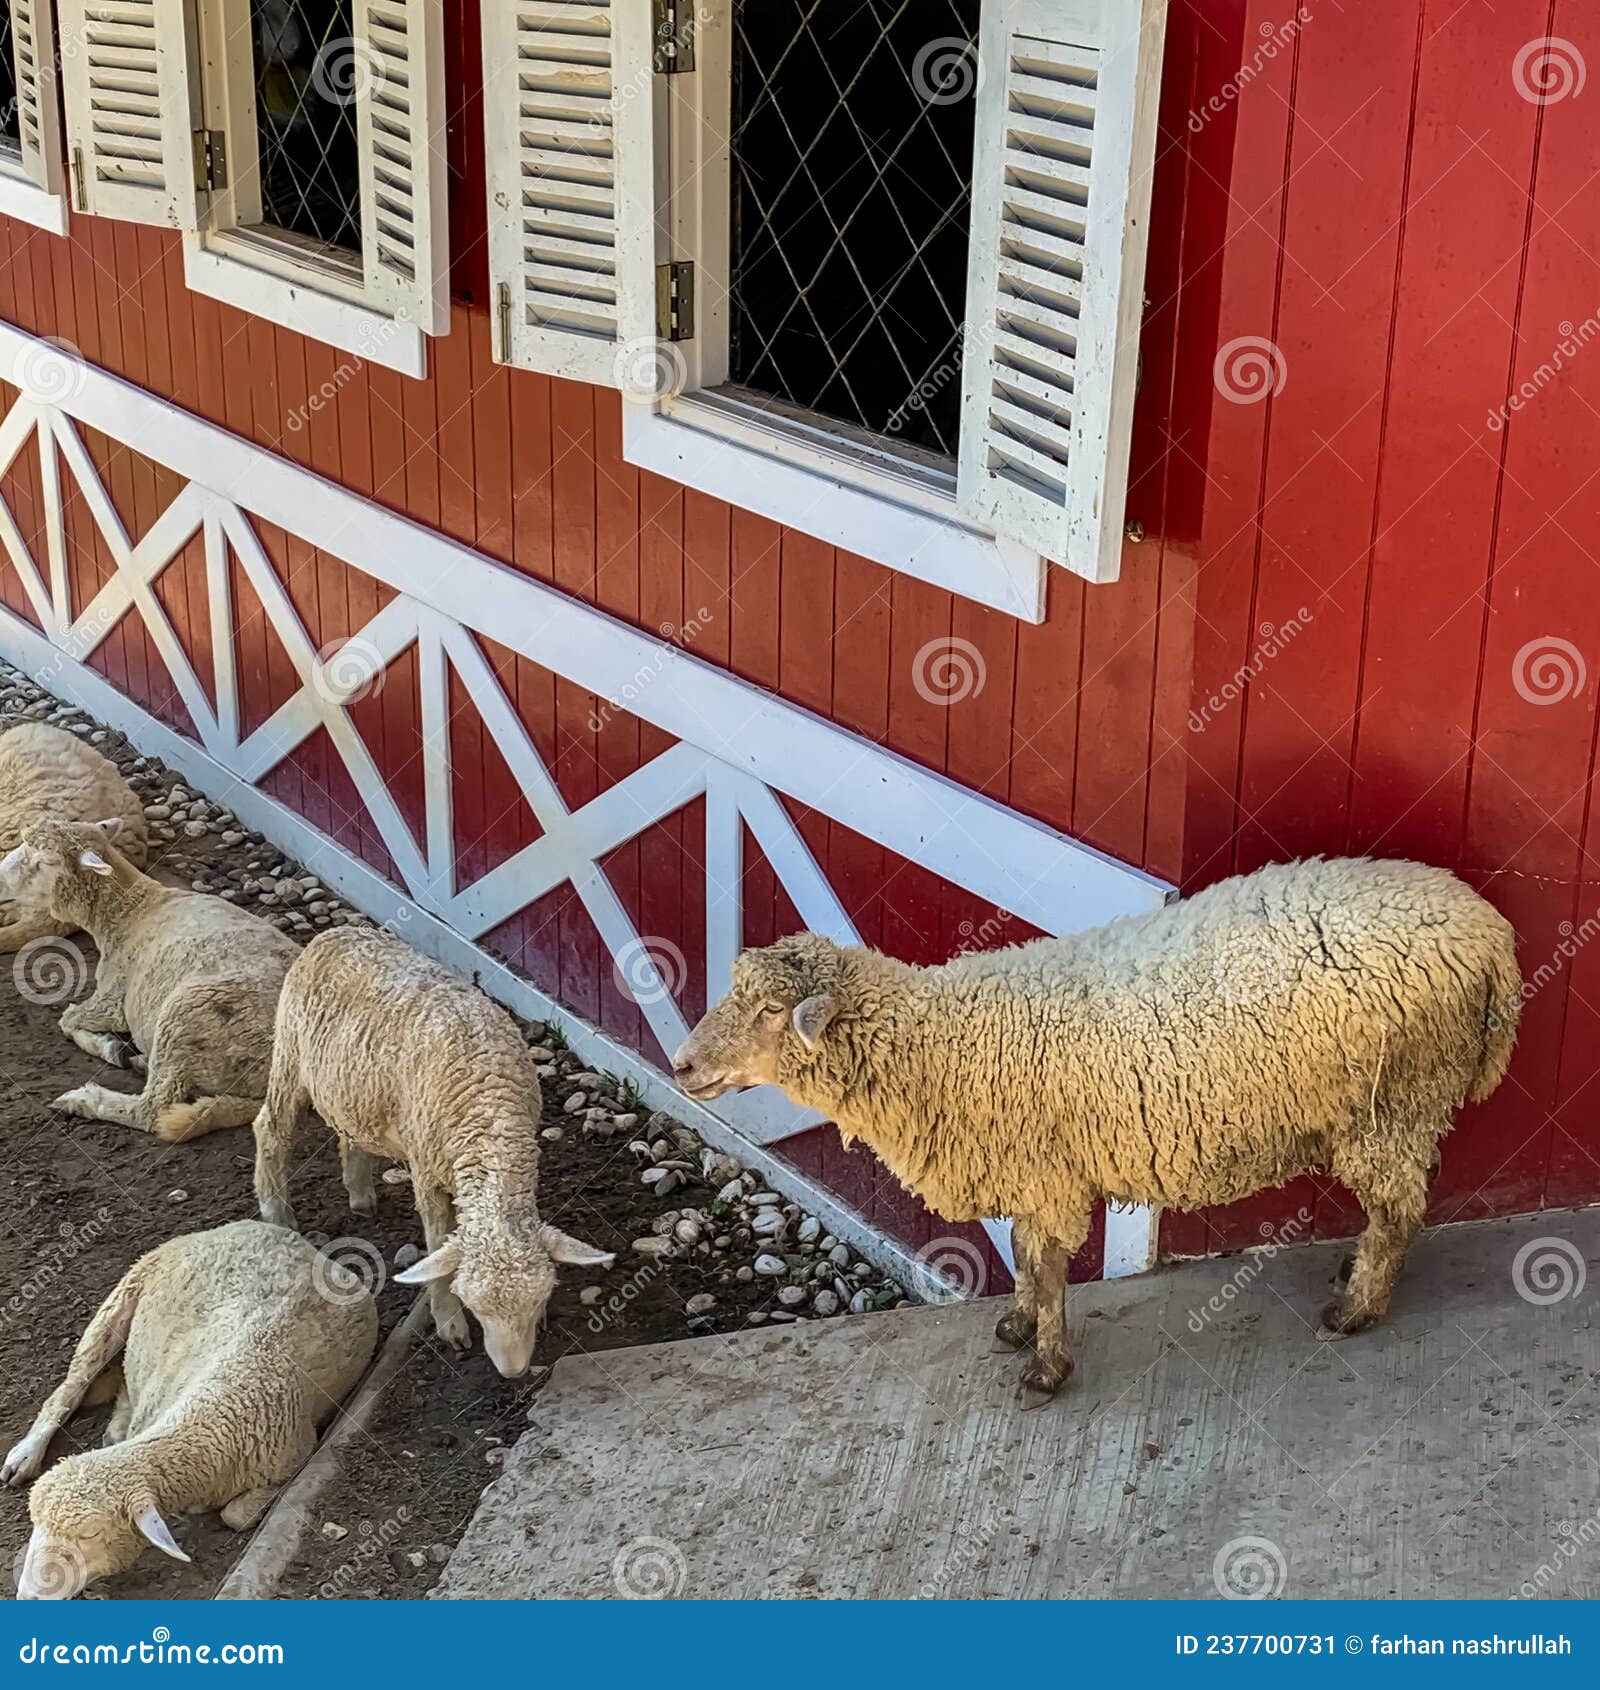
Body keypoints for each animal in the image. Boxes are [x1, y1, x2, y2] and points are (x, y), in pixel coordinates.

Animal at [0, 816, 298, 1139]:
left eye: (44, 862)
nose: (0, 878)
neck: (133, 908)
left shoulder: (112, 998)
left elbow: (68, 1019)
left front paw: (108, 1047)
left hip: (186, 1016)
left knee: (152, 1110)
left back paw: (85, 1099)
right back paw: (140, 1063)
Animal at [3, 1218, 376, 1598]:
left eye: (91, 1534)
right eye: (34, 1521)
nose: (27, 1596)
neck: (218, 1409)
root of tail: (281, 1233)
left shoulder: (299, 1453)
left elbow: (236, 1516)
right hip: (124, 1294)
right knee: (69, 1388)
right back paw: (25, 1455)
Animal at [252, 923, 616, 1378]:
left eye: (539, 1299)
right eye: (476, 1307)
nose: (512, 1372)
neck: (488, 1116)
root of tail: (337, 933)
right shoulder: (426, 1171)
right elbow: (438, 1242)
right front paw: (449, 1324)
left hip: (354, 1087)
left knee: (349, 1132)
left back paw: (360, 1195)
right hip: (290, 1053)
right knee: (269, 1127)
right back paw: (276, 1211)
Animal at [673, 856, 1523, 1408]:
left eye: (768, 1012)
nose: (682, 1065)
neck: (943, 1042)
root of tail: (1491, 935)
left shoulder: (1048, 1176)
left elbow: (1046, 1270)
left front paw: (1046, 1370)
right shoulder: (1027, 1172)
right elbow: (1022, 1260)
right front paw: (1017, 1327)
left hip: (1391, 1101)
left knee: (1399, 1205)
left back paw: (1357, 1310)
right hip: (1408, 1105)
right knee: (1411, 1191)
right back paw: (1358, 1271)